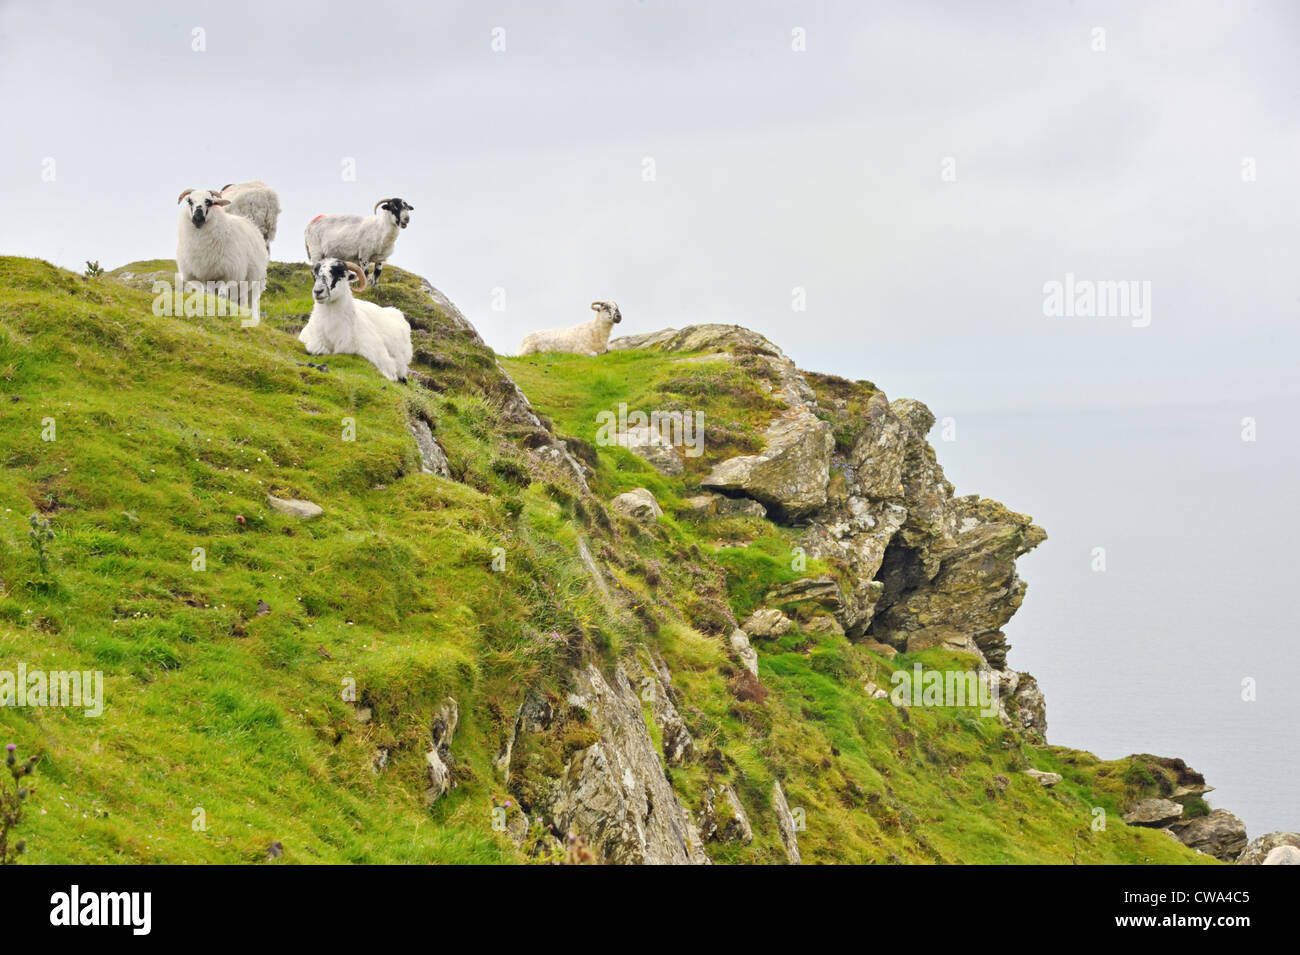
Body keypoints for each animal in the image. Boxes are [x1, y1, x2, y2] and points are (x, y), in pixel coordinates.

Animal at [175, 188, 268, 323]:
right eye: (190, 201)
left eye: (209, 201)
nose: (197, 218)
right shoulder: (204, 276)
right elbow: (208, 295)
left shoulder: (228, 274)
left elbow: (222, 296)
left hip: (255, 282)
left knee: (252, 303)